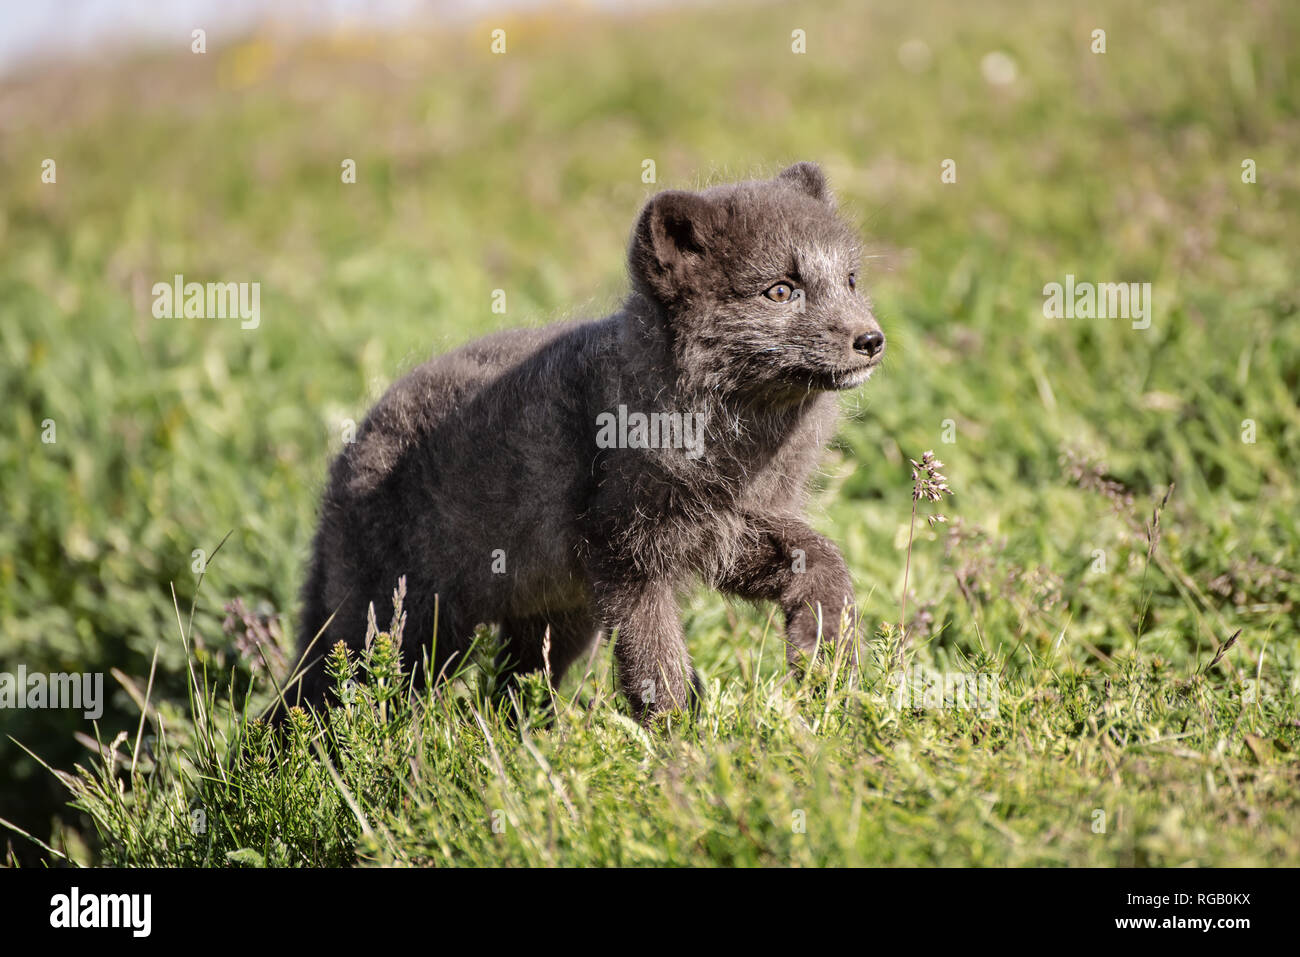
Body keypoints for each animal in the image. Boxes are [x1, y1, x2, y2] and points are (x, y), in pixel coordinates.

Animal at [281, 162, 885, 724]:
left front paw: (825, 662)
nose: (872, 340)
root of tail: (346, 455)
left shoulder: (730, 526)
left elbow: (824, 558)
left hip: (552, 620)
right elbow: (655, 659)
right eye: (781, 290)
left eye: (852, 280)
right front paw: (679, 744)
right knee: (333, 697)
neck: (736, 438)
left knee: (511, 690)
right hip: (400, 625)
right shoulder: (625, 555)